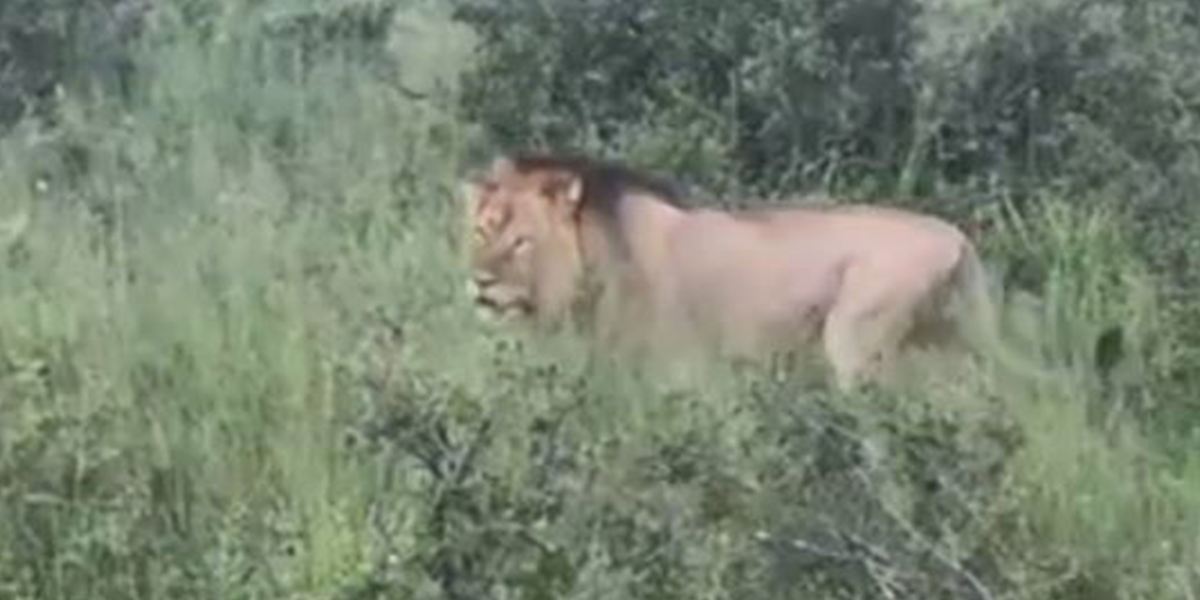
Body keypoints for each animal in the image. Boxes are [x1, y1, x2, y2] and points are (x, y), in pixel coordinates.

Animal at [460, 151, 1044, 391]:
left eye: (521, 242)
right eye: (482, 232)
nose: (480, 283)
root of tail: (957, 239)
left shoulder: (671, 367)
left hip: (855, 339)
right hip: (953, 345)